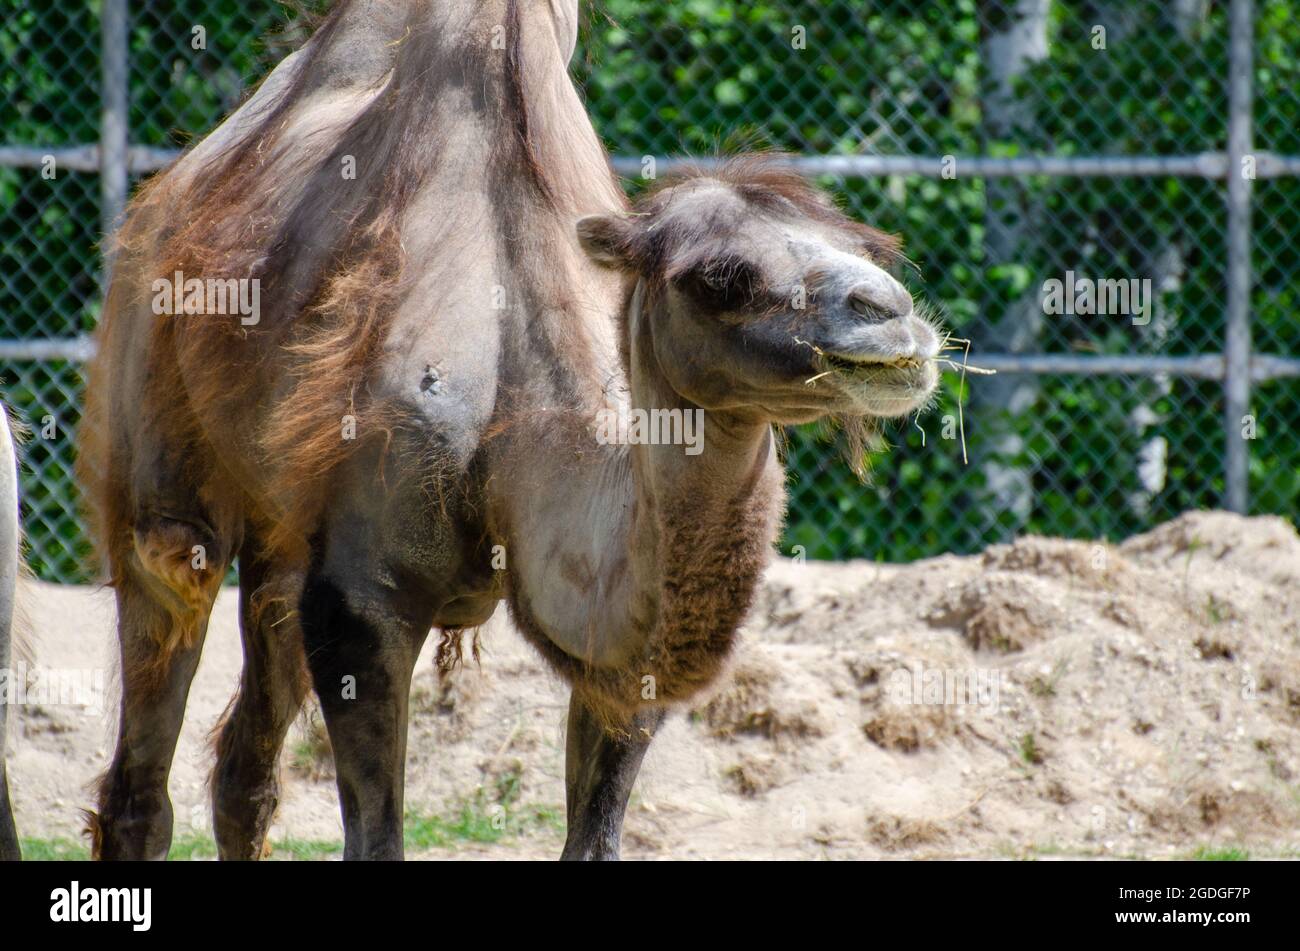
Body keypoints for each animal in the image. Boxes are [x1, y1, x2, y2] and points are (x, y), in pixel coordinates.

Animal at [78, 0, 940, 861]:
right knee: (167, 611)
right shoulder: (363, 596)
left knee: (245, 766)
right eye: (720, 278)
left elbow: (595, 833)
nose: (892, 313)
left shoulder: (622, 661)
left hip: (282, 532)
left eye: (868, 247)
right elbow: (377, 835)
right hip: (152, 401)